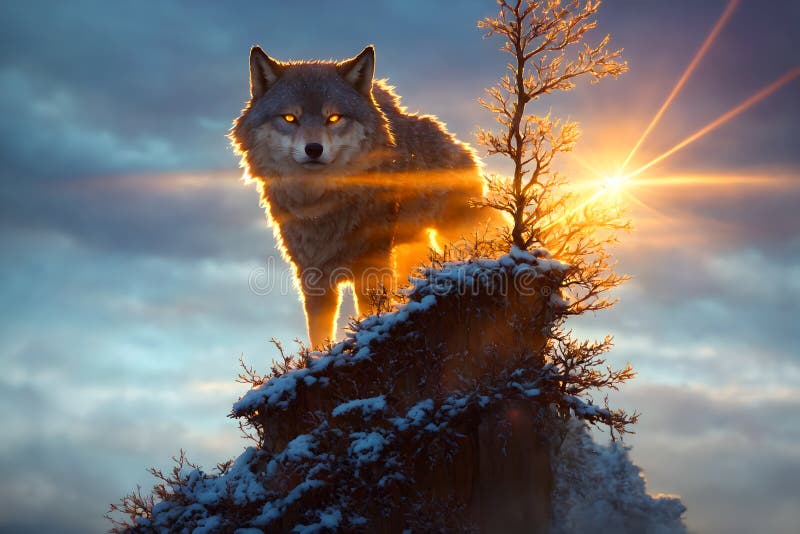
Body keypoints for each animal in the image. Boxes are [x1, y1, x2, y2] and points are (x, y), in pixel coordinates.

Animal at [231, 45, 497, 347]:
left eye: (333, 118)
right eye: (290, 118)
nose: (314, 149)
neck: (322, 206)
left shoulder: (372, 264)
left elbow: (370, 313)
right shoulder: (312, 273)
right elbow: (319, 333)